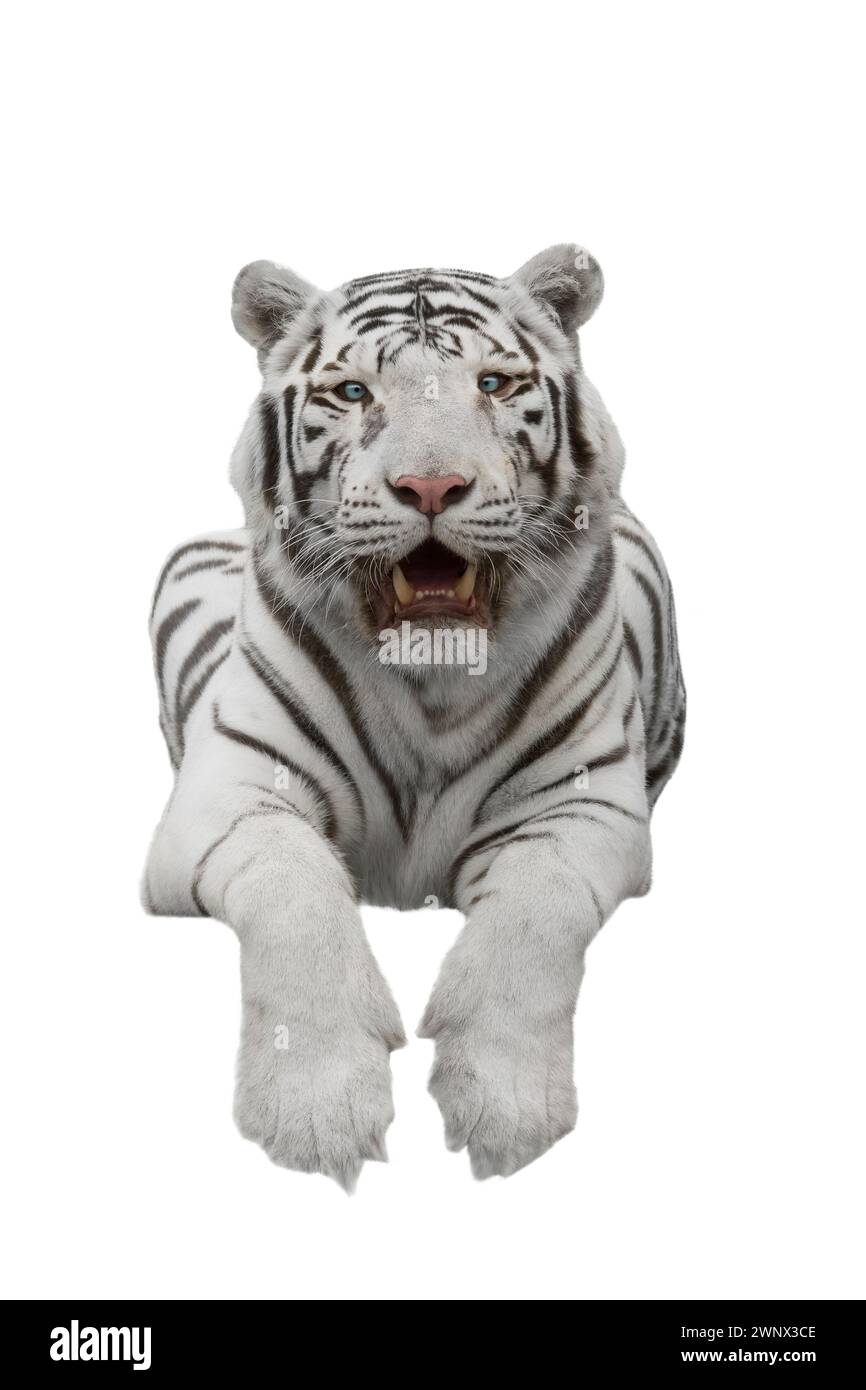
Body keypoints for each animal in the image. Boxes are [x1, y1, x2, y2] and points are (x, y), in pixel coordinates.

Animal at [143, 243, 686, 1189]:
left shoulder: (580, 807)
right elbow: (294, 892)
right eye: (354, 392)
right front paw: (314, 1108)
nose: (431, 485)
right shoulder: (227, 796)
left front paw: (506, 1103)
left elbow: (535, 912)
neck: (430, 684)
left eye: (495, 383)